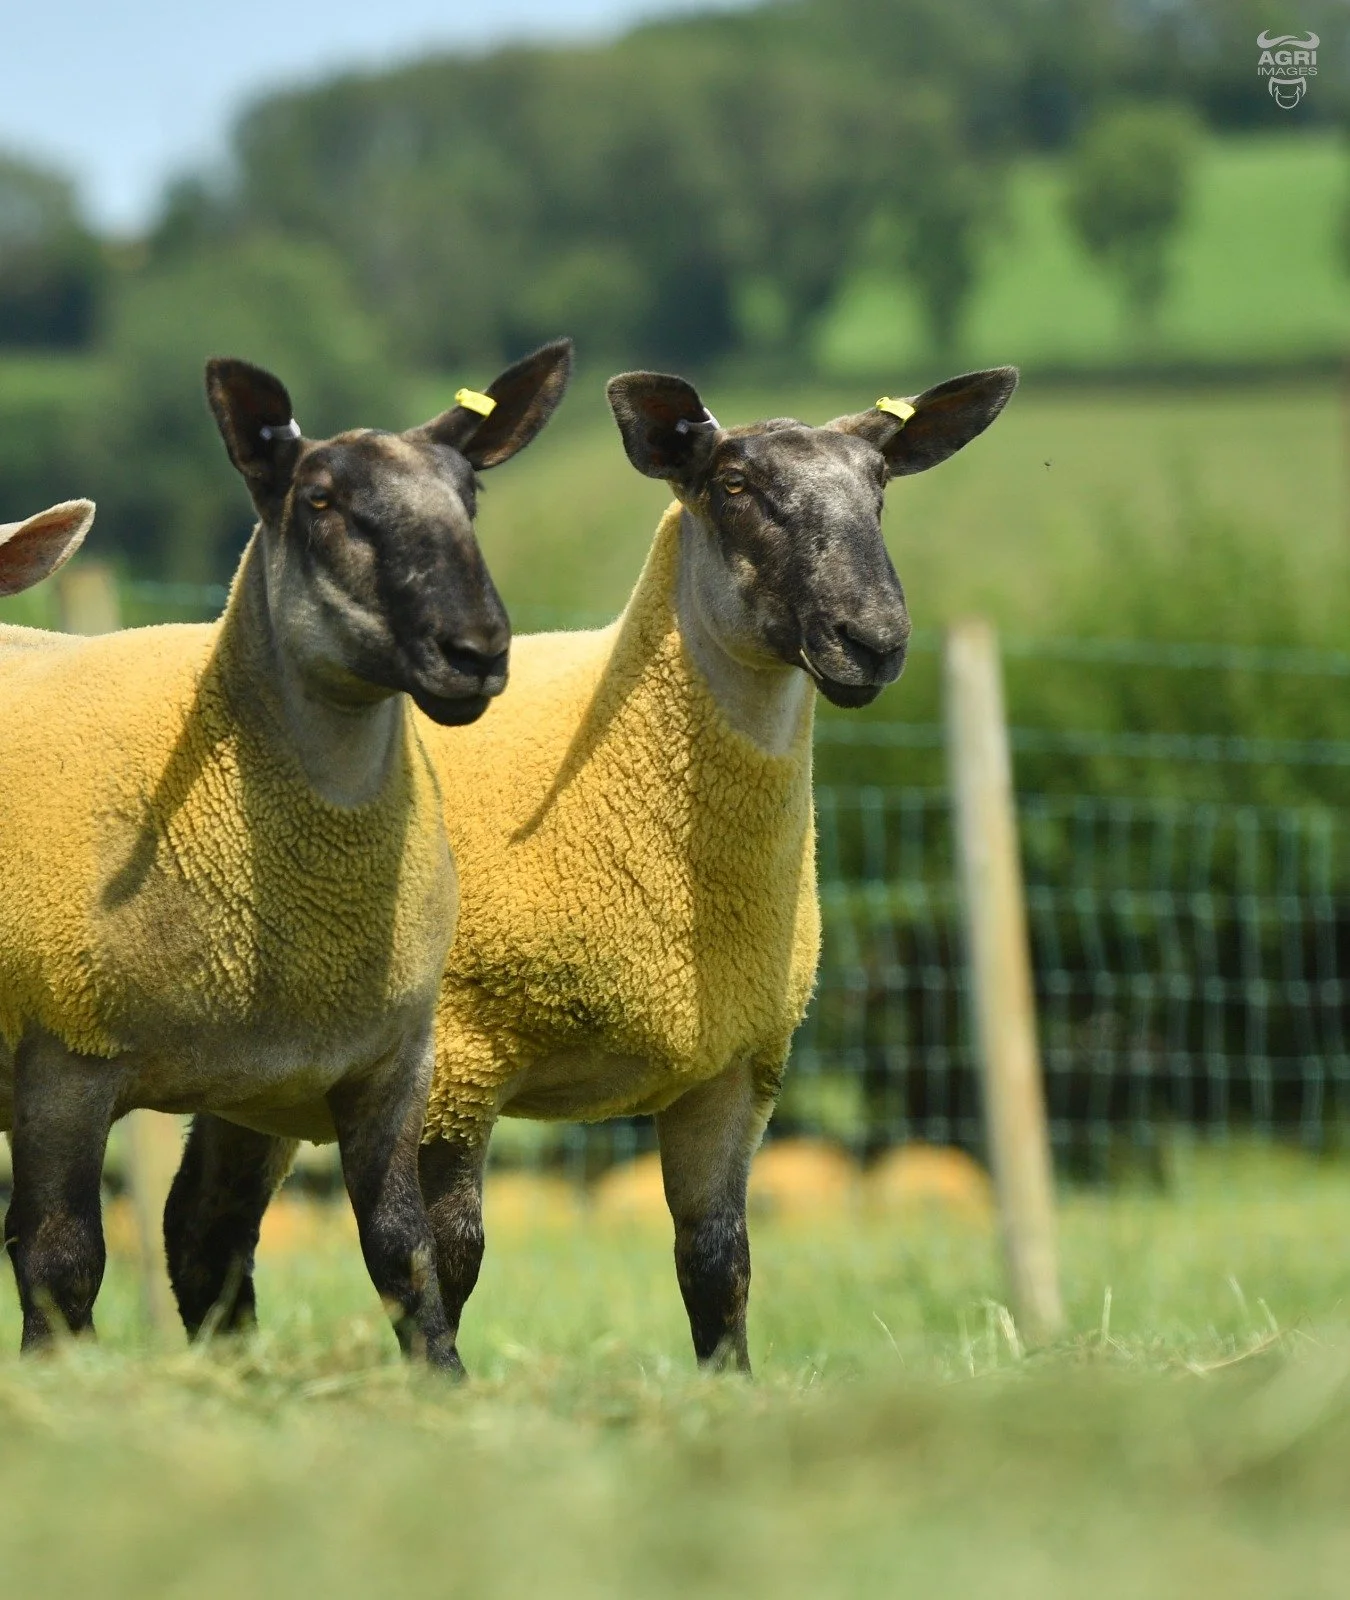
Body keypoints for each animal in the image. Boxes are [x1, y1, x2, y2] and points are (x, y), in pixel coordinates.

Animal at [0, 340, 572, 1363]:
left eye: (470, 496)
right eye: (320, 501)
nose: (476, 651)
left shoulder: (387, 1063)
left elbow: (405, 1253)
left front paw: (444, 1380)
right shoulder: (63, 1049)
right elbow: (60, 1263)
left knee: (205, 1233)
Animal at [407, 365, 1017, 1374]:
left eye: (880, 490)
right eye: (734, 486)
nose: (875, 638)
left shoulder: (733, 1072)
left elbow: (717, 1263)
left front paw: (730, 1385)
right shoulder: (460, 1059)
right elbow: (448, 1255)